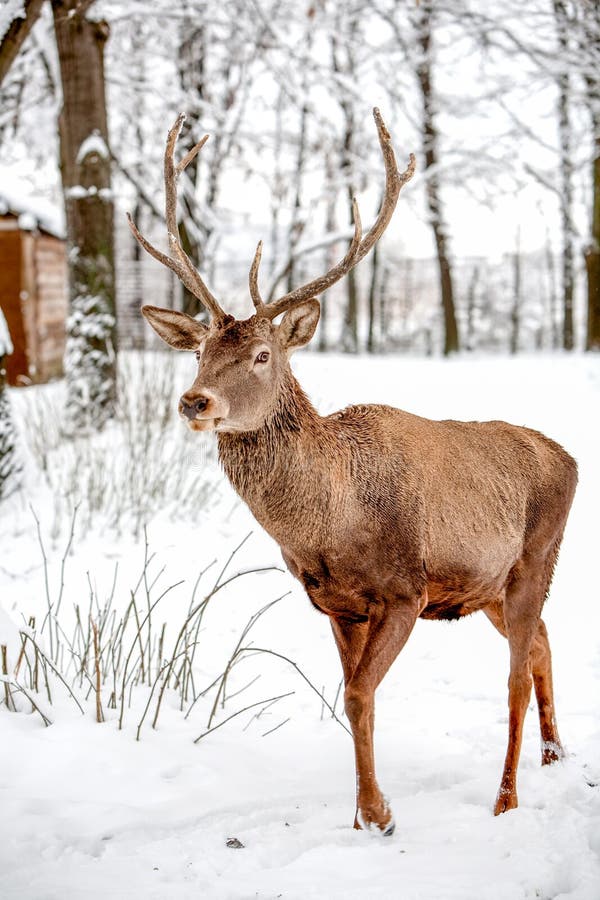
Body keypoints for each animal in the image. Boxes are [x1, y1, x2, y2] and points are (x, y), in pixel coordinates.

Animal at [128, 109, 577, 836]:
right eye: (198, 351)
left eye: (261, 354)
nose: (195, 401)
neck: (328, 525)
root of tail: (568, 456)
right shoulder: (335, 602)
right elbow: (349, 693)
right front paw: (368, 811)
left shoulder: (405, 588)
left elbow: (361, 691)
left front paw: (378, 814)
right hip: (486, 587)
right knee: (538, 642)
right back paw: (554, 753)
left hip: (538, 555)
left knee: (514, 671)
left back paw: (507, 797)